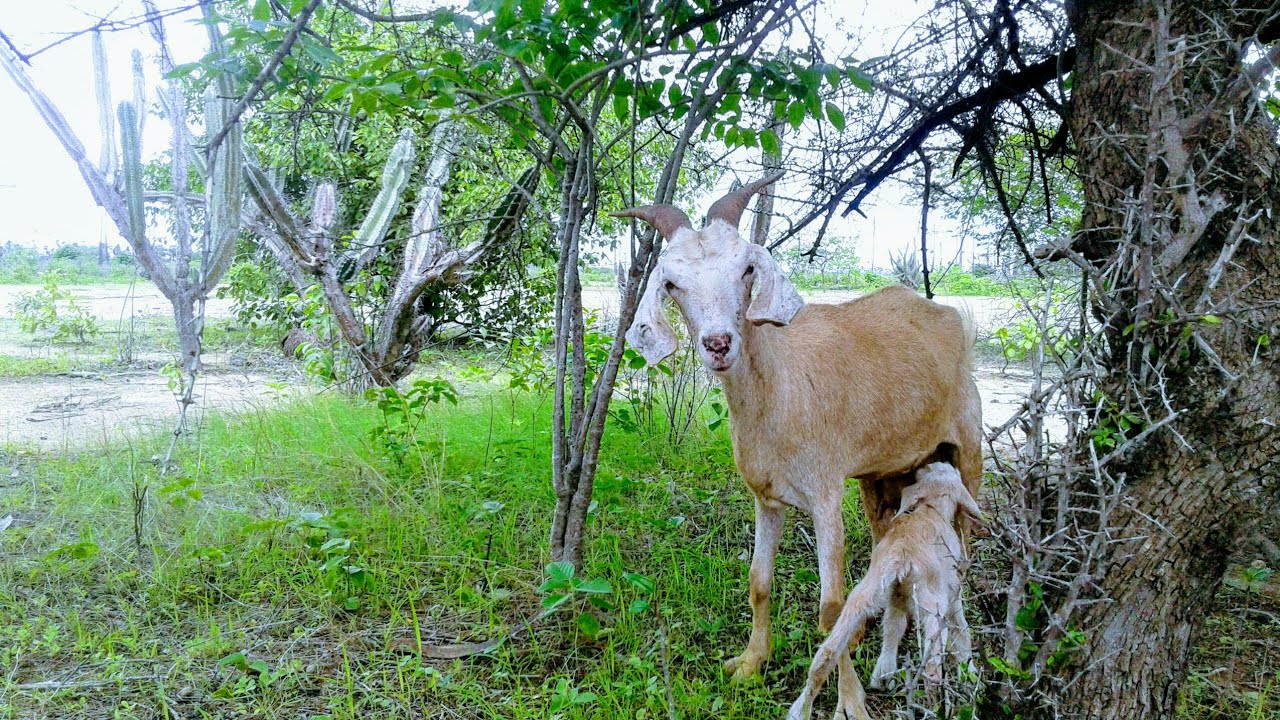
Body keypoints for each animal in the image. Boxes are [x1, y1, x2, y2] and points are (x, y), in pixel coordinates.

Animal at [787, 462, 982, 720]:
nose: (934, 462)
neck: (930, 510)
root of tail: (903, 556)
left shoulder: (896, 594)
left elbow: (893, 627)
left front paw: (883, 674)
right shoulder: (952, 590)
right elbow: (962, 631)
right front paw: (969, 673)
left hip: (863, 596)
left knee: (826, 655)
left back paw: (799, 709)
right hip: (933, 605)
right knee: (932, 668)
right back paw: (938, 708)